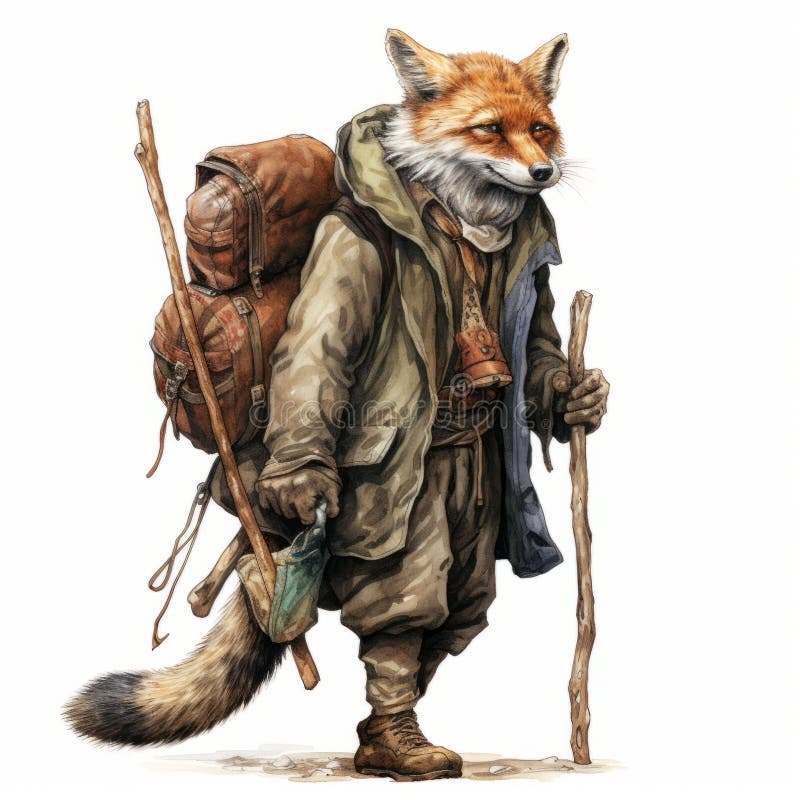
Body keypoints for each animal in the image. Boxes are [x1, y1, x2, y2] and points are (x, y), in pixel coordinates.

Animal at [66, 29, 577, 747]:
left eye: (540, 130)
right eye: (489, 130)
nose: (543, 174)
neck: (462, 223)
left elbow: (539, 349)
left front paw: (574, 396)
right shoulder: (350, 247)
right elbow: (319, 350)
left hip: (476, 536)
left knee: (458, 612)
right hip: (405, 518)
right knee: (404, 604)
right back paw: (389, 733)